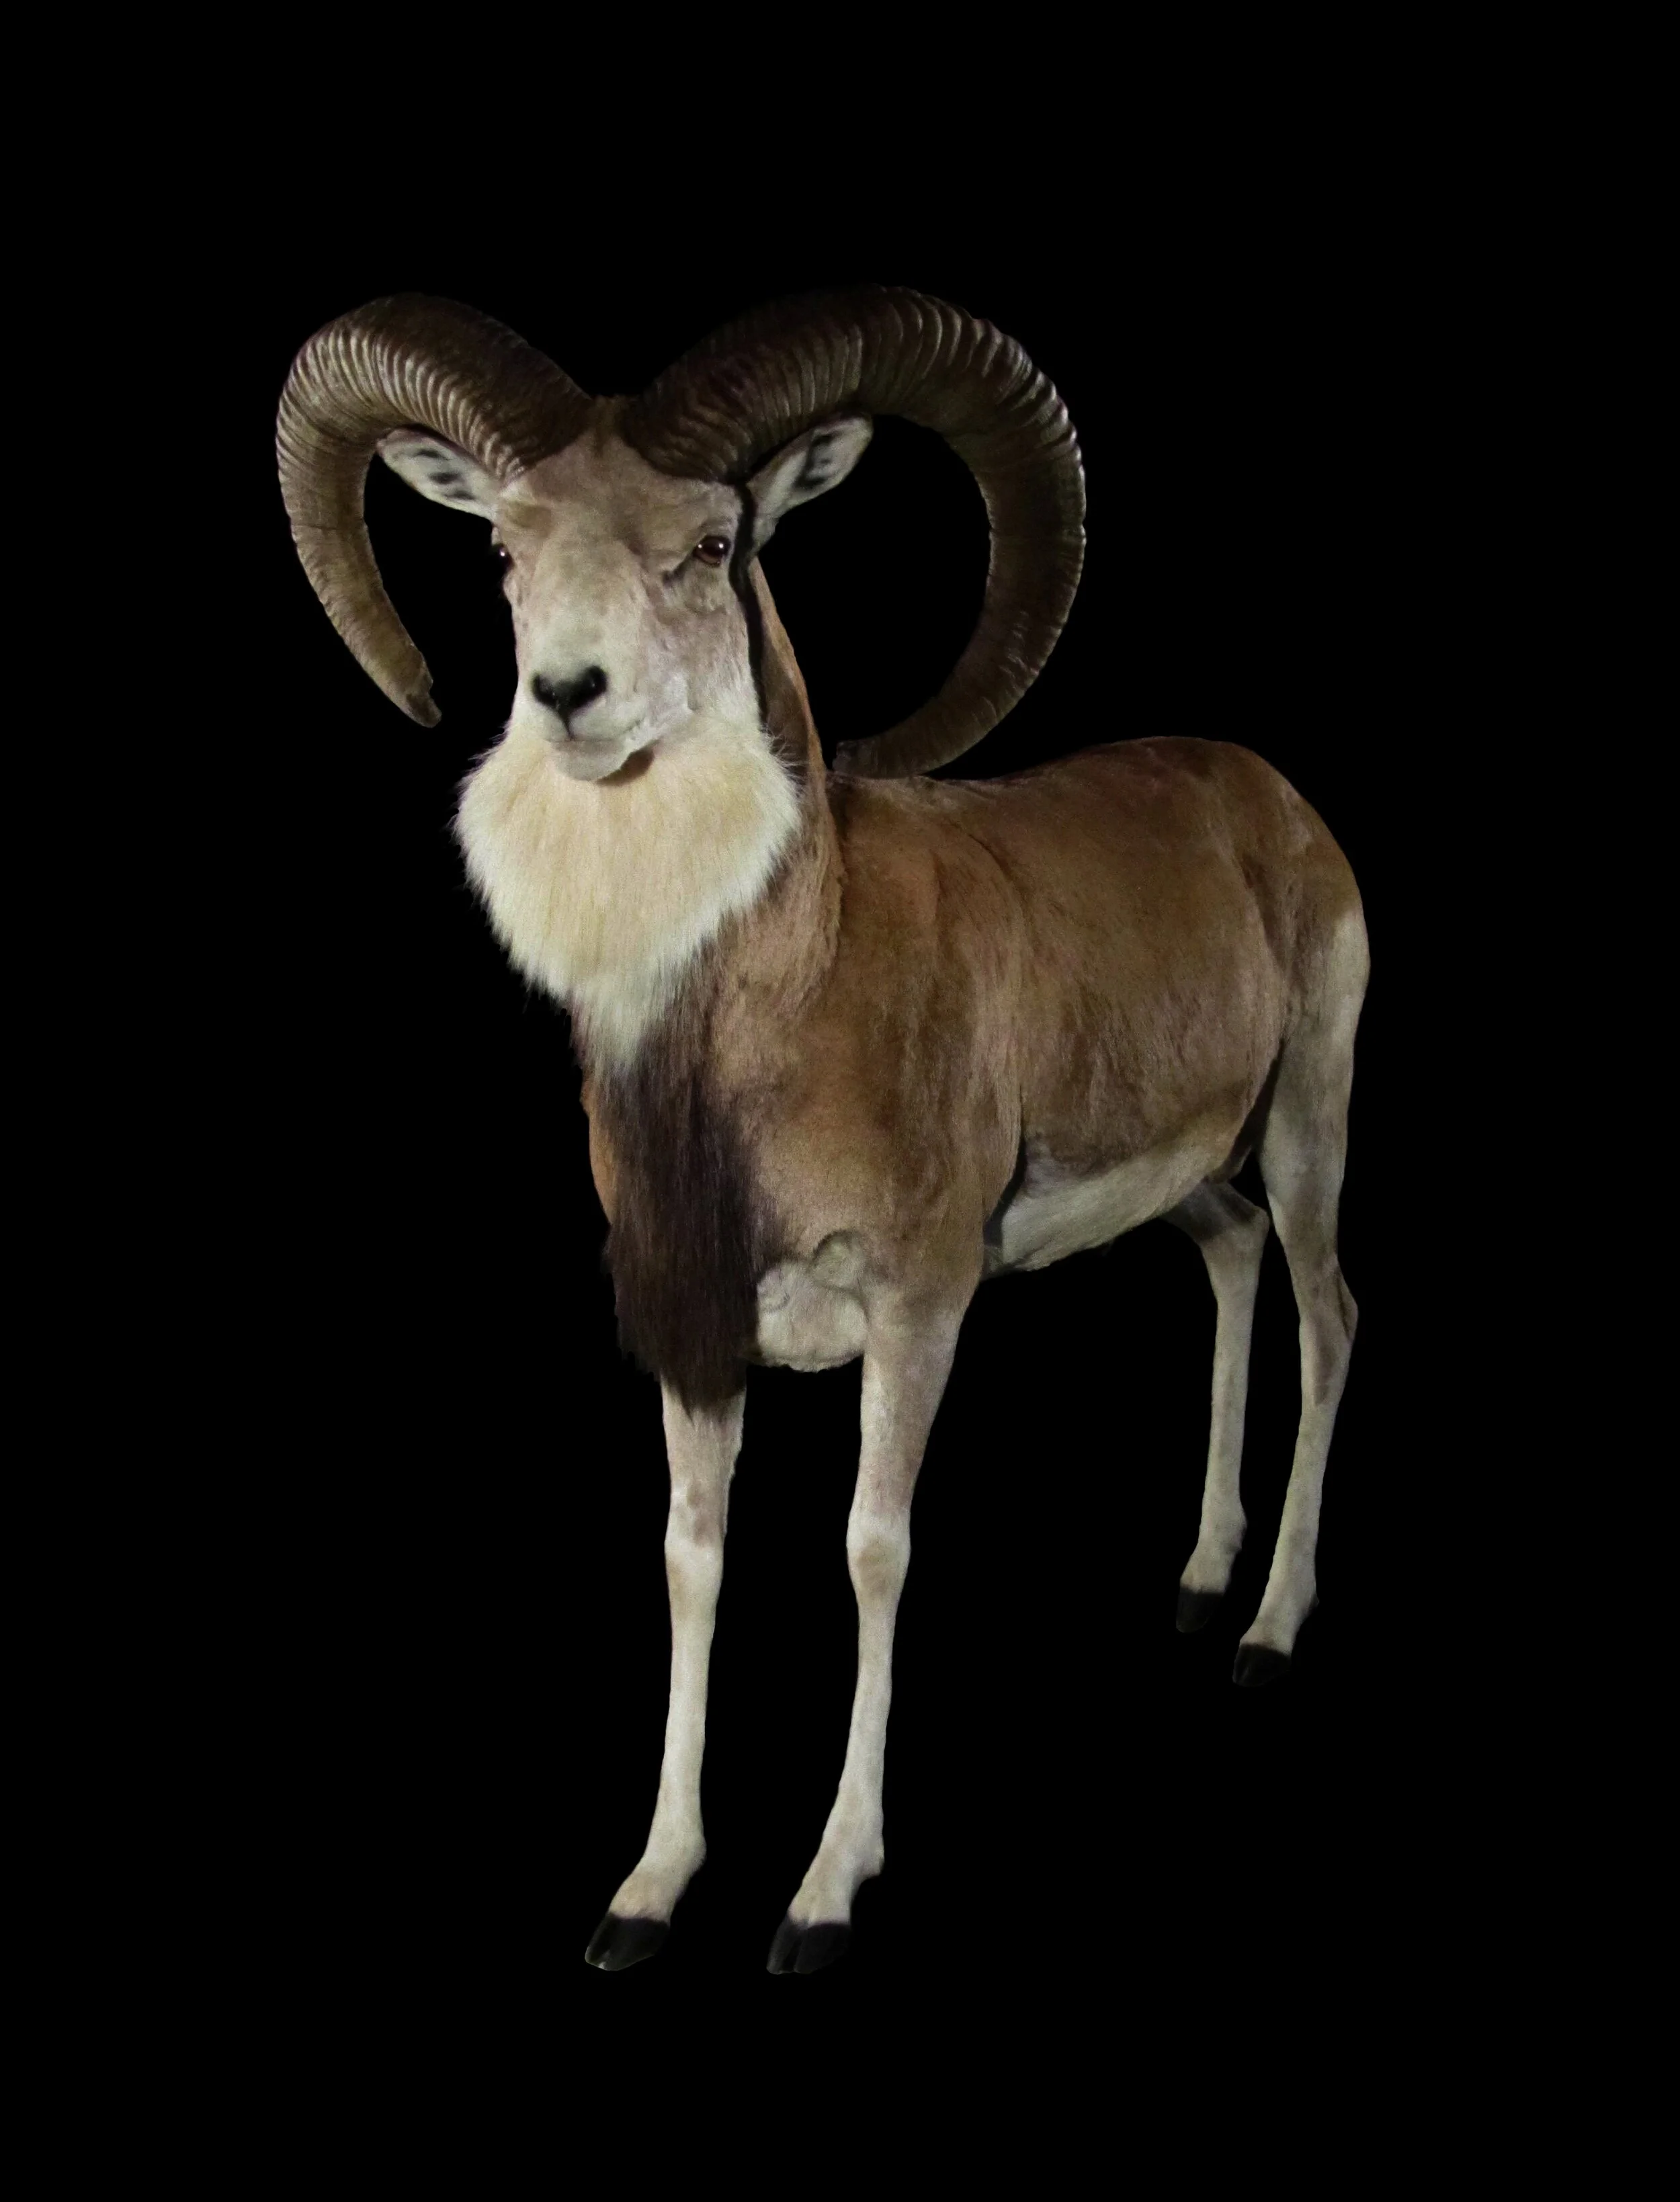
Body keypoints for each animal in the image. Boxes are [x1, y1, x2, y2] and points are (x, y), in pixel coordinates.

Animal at [278, 286, 1367, 1973]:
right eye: (505, 547)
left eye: (713, 543)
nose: (568, 697)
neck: (770, 1023)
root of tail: (1277, 808)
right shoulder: (693, 1330)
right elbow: (692, 1557)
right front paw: (648, 1891)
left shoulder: (918, 1304)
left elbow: (870, 1548)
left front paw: (821, 1894)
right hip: (1182, 1184)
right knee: (1233, 1261)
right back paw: (1196, 1583)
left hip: (1311, 1119)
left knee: (1325, 1314)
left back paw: (1262, 1630)